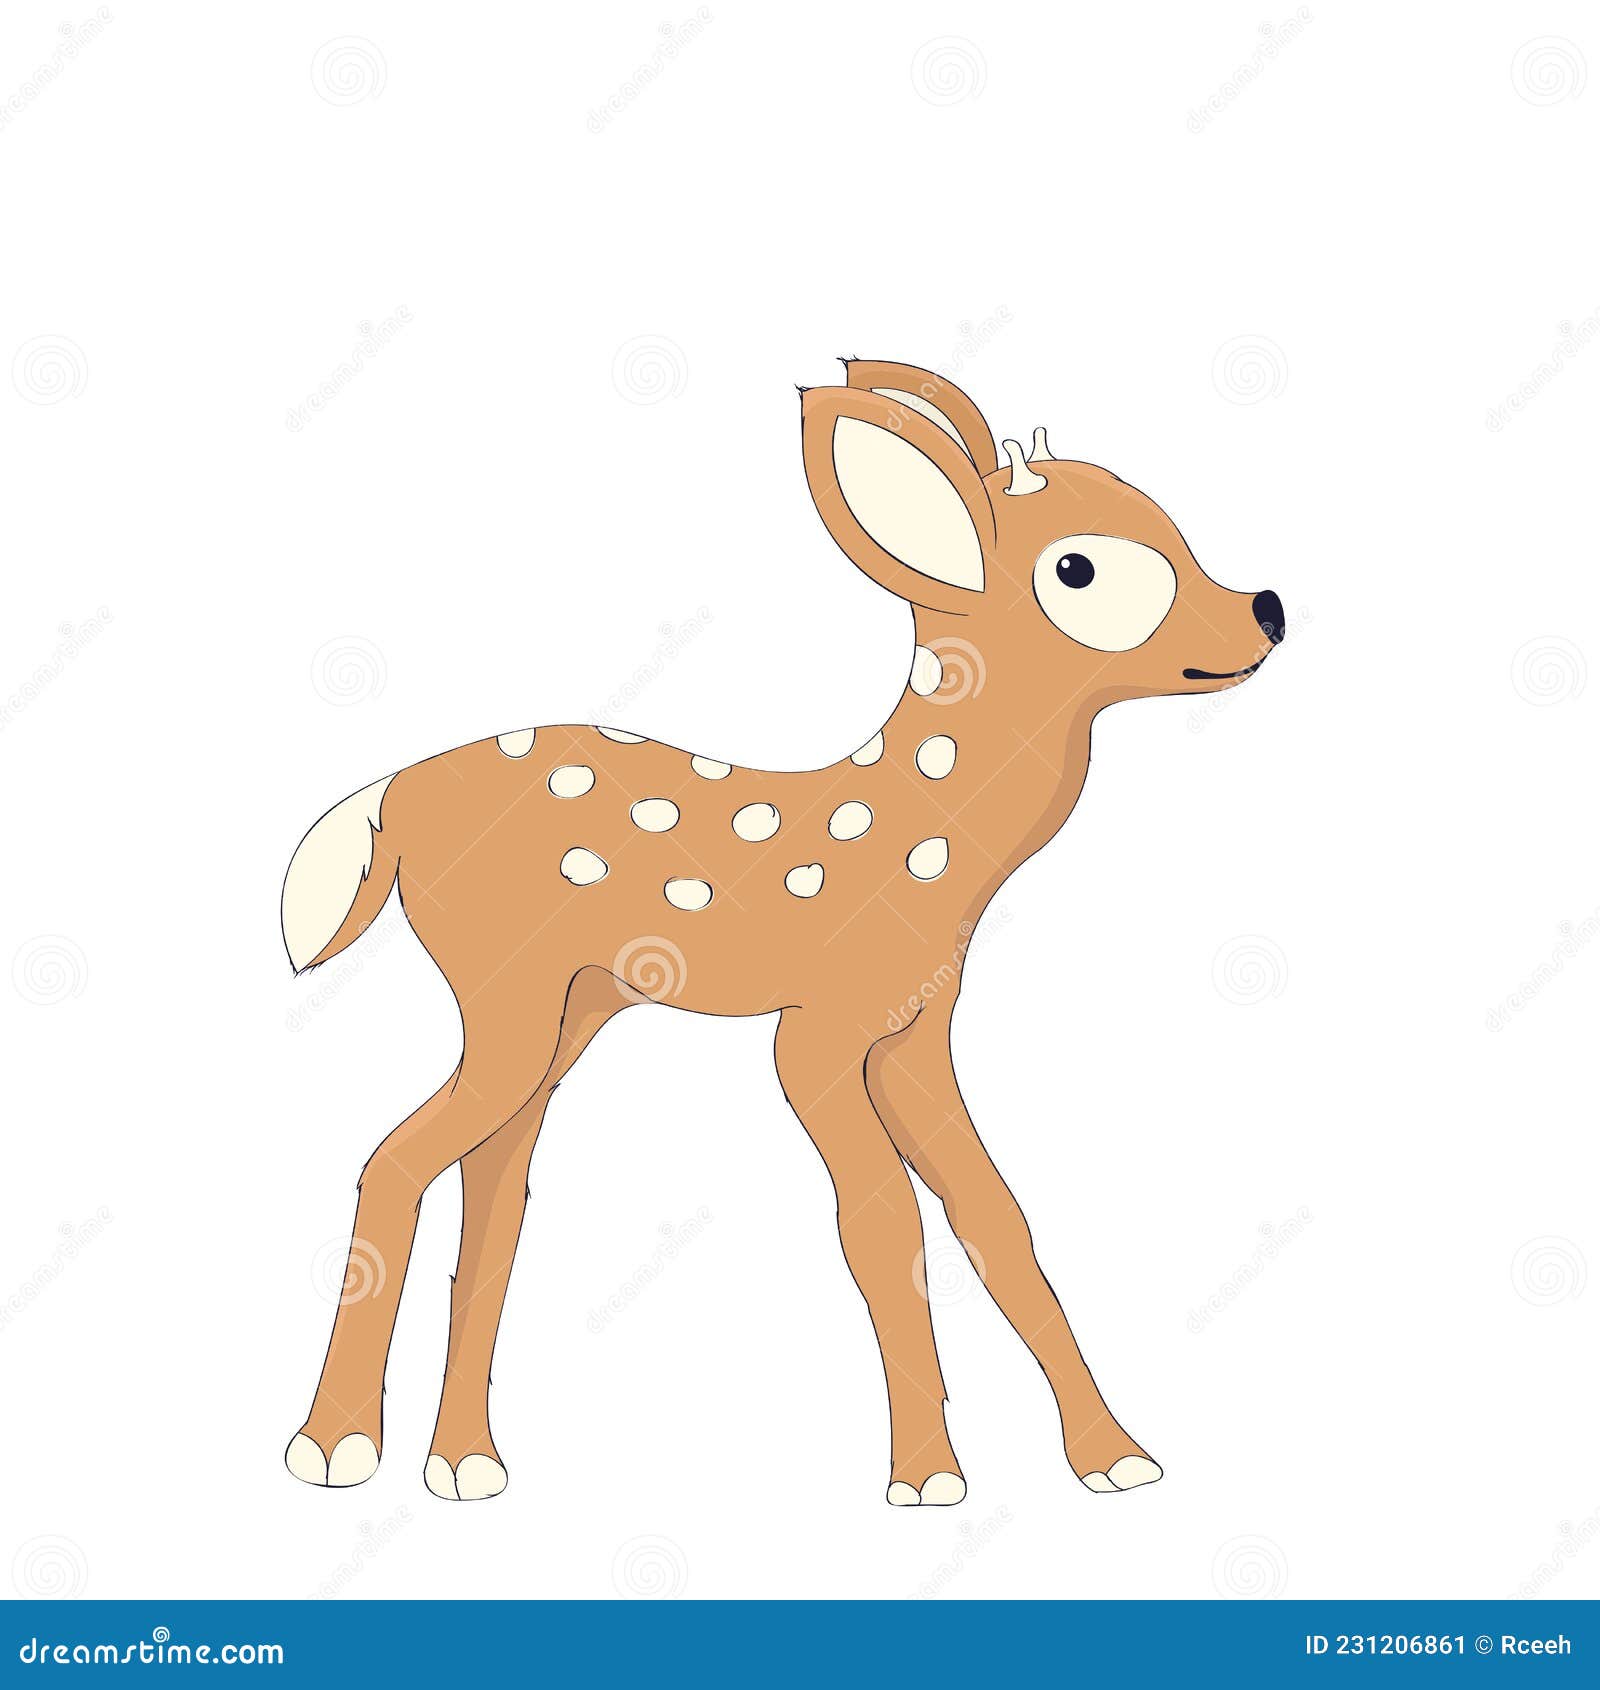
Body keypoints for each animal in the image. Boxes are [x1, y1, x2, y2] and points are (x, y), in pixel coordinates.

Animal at [281, 358, 1283, 1507]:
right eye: (1079, 567)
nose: (1266, 608)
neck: (921, 848)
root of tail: (390, 793)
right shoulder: (816, 1034)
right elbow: (883, 1226)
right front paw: (926, 1475)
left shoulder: (913, 1033)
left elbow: (996, 1218)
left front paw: (1113, 1456)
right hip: (504, 986)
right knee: (393, 1161)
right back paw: (333, 1447)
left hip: (565, 1012)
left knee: (494, 1189)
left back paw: (464, 1462)